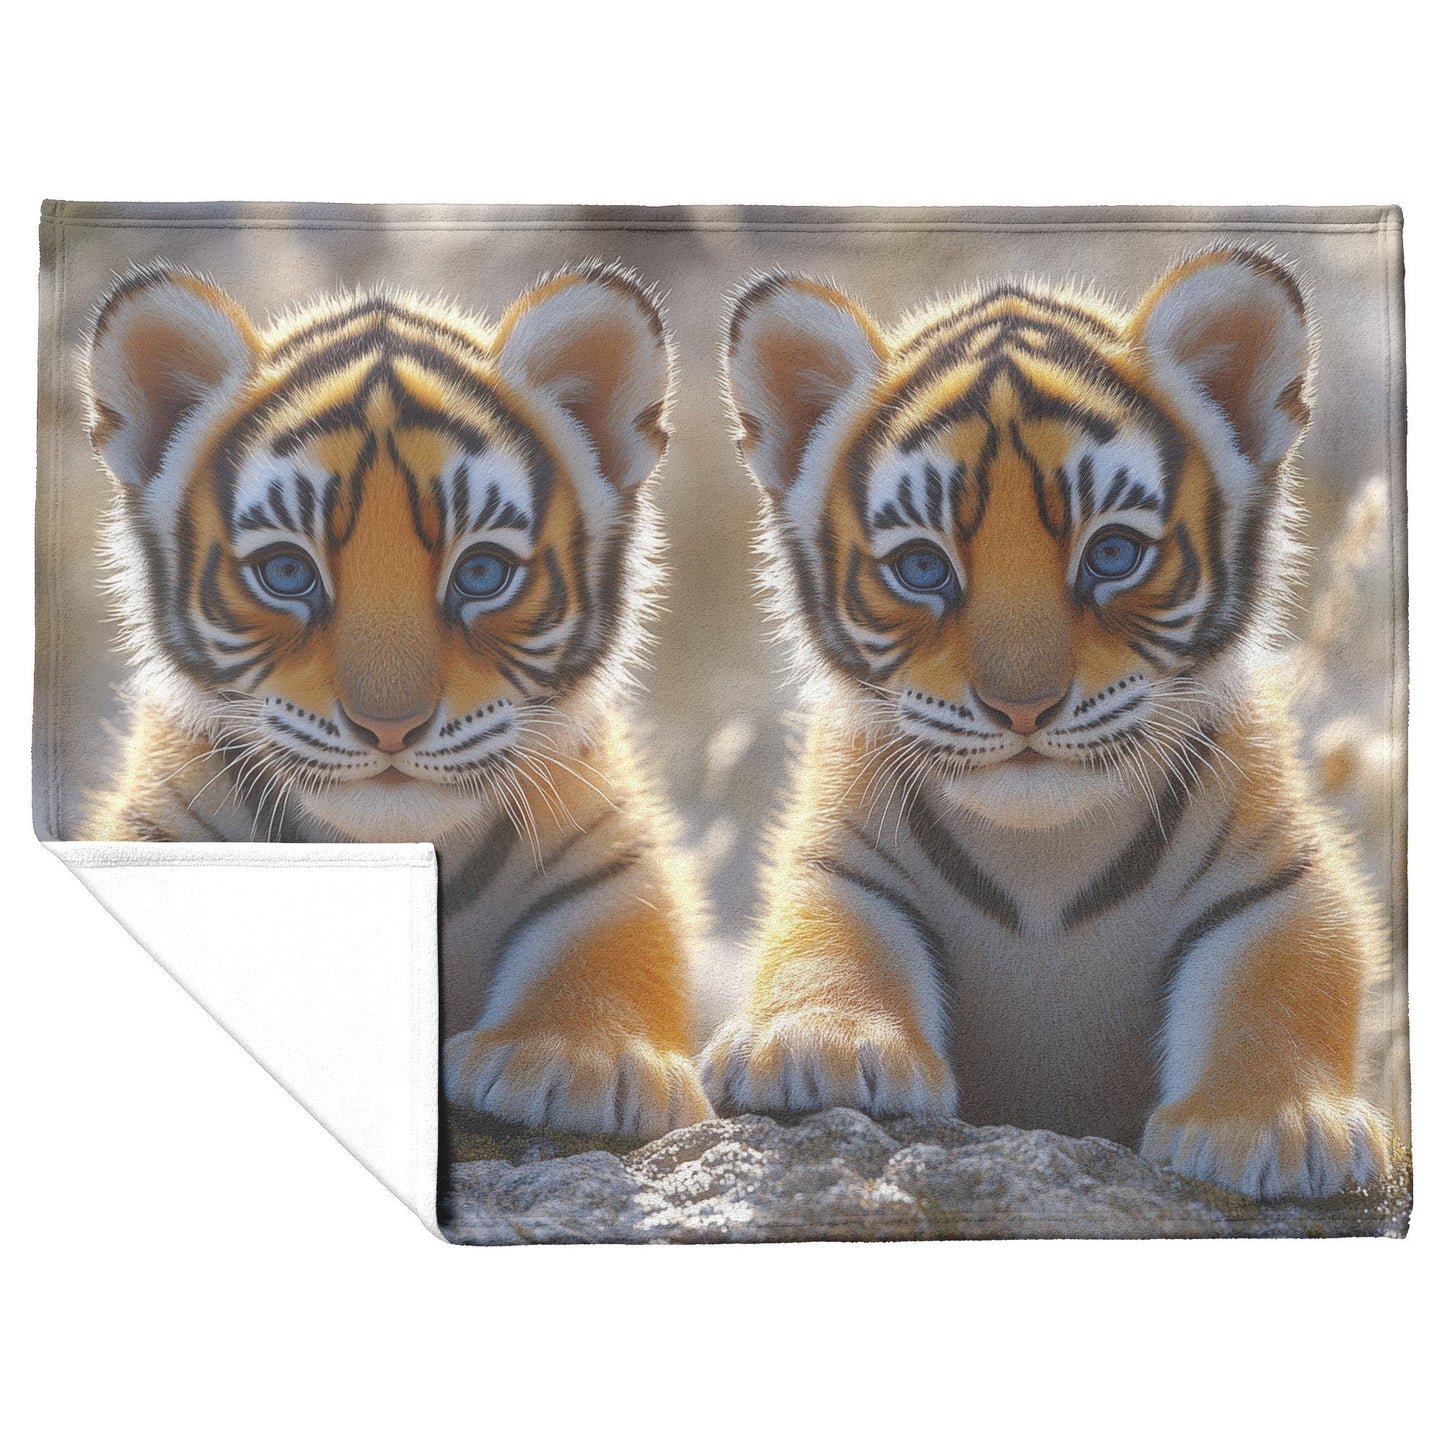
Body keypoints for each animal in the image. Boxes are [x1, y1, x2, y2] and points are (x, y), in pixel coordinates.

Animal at [82, 260, 712, 1140]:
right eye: (287, 572)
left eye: (481, 573)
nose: (389, 727)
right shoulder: (158, 830)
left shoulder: (609, 842)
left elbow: (613, 933)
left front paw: (582, 1058)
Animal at [701, 248, 1395, 1199]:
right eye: (922, 568)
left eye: (1112, 554)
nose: (1022, 705)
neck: (1044, 859)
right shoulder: (843, 850)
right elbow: (829, 933)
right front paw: (816, 1044)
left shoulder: (1279, 868)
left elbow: (1284, 968)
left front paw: (1274, 1124)